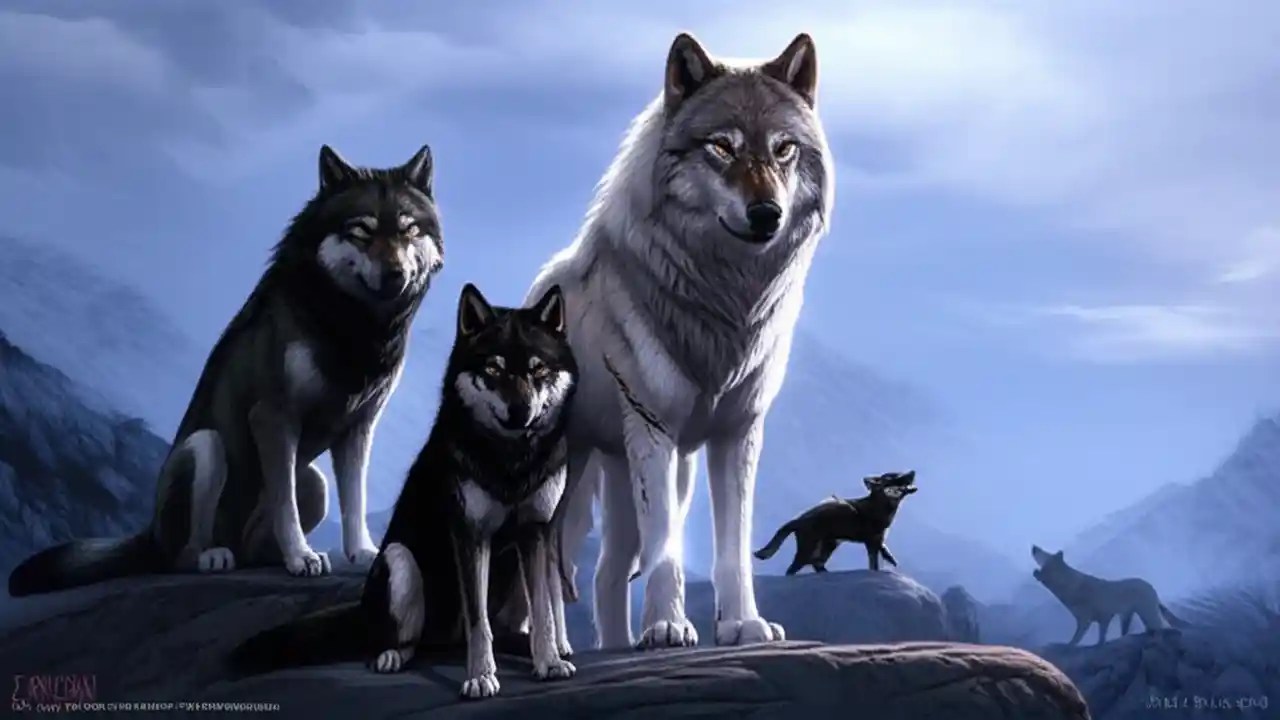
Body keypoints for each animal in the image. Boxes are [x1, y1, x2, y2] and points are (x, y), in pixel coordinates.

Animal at [8, 145, 443, 596]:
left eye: (409, 230)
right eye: (361, 231)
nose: (396, 274)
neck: (352, 325)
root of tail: (149, 534)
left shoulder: (358, 428)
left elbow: (354, 501)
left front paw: (363, 553)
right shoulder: (272, 416)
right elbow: (285, 505)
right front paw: (300, 557)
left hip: (313, 481)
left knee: (261, 539)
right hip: (207, 448)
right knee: (182, 556)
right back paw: (214, 556)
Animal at [233, 284, 577, 700]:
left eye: (537, 369)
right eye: (493, 369)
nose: (520, 411)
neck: (511, 463)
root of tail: (361, 609)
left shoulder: (536, 532)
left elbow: (543, 610)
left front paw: (549, 662)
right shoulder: (469, 534)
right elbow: (478, 621)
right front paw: (480, 677)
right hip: (401, 562)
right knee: (406, 637)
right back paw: (391, 656)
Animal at [524, 31, 834, 650]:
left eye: (783, 149)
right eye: (722, 147)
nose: (767, 213)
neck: (725, 304)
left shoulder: (737, 436)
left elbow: (732, 549)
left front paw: (744, 625)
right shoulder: (652, 430)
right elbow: (665, 548)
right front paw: (668, 626)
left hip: (637, 475)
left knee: (605, 570)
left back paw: (615, 647)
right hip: (573, 480)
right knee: (545, 562)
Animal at [754, 470, 918, 575]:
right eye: (895, 477)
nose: (913, 471)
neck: (880, 508)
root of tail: (797, 520)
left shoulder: (878, 540)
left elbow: (885, 552)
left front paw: (891, 560)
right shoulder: (871, 541)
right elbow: (874, 565)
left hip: (828, 545)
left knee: (816, 563)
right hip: (810, 548)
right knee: (795, 567)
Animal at [1031, 545, 1188, 646]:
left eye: (1043, 552)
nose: (1034, 546)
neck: (1068, 586)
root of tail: (1150, 585)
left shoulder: (1089, 614)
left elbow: (1079, 633)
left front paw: (1069, 644)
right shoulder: (1102, 616)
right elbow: (1101, 632)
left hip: (1144, 606)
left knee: (1157, 622)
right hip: (1130, 613)